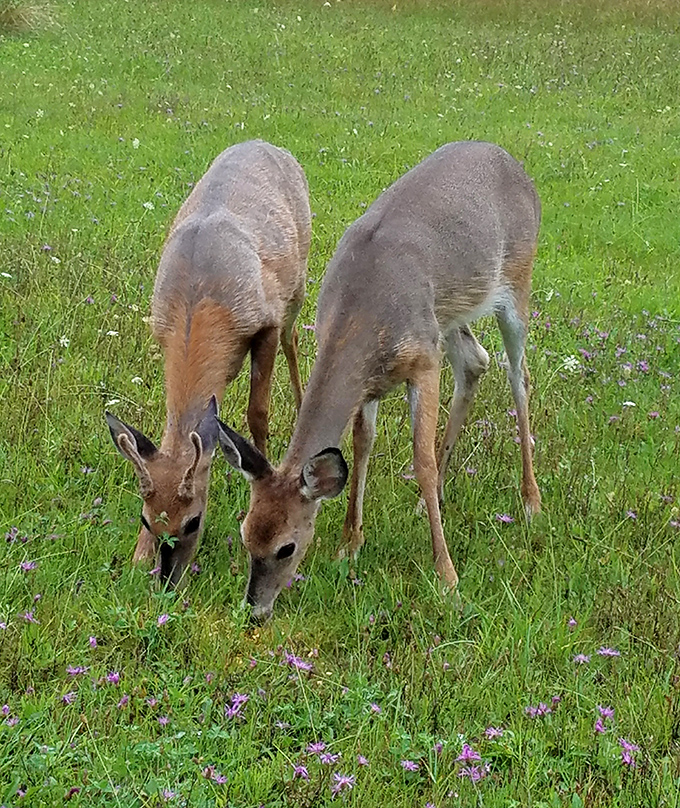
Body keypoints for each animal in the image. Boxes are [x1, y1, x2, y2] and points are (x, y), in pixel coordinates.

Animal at [105, 140, 311, 587]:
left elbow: (257, 413)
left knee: (295, 337)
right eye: (146, 520)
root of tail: (266, 143)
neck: (198, 303)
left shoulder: (265, 322)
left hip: (299, 281)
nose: (168, 581)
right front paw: (137, 558)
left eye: (194, 521)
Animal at [216, 140, 541, 620]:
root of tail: (513, 163)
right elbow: (361, 445)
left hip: (517, 280)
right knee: (475, 360)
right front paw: (349, 544)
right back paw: (436, 497)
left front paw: (447, 577)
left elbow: (420, 461)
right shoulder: (373, 383)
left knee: (519, 376)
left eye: (286, 548)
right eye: (245, 533)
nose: (255, 609)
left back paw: (530, 499)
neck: (362, 313)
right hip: (447, 317)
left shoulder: (423, 362)